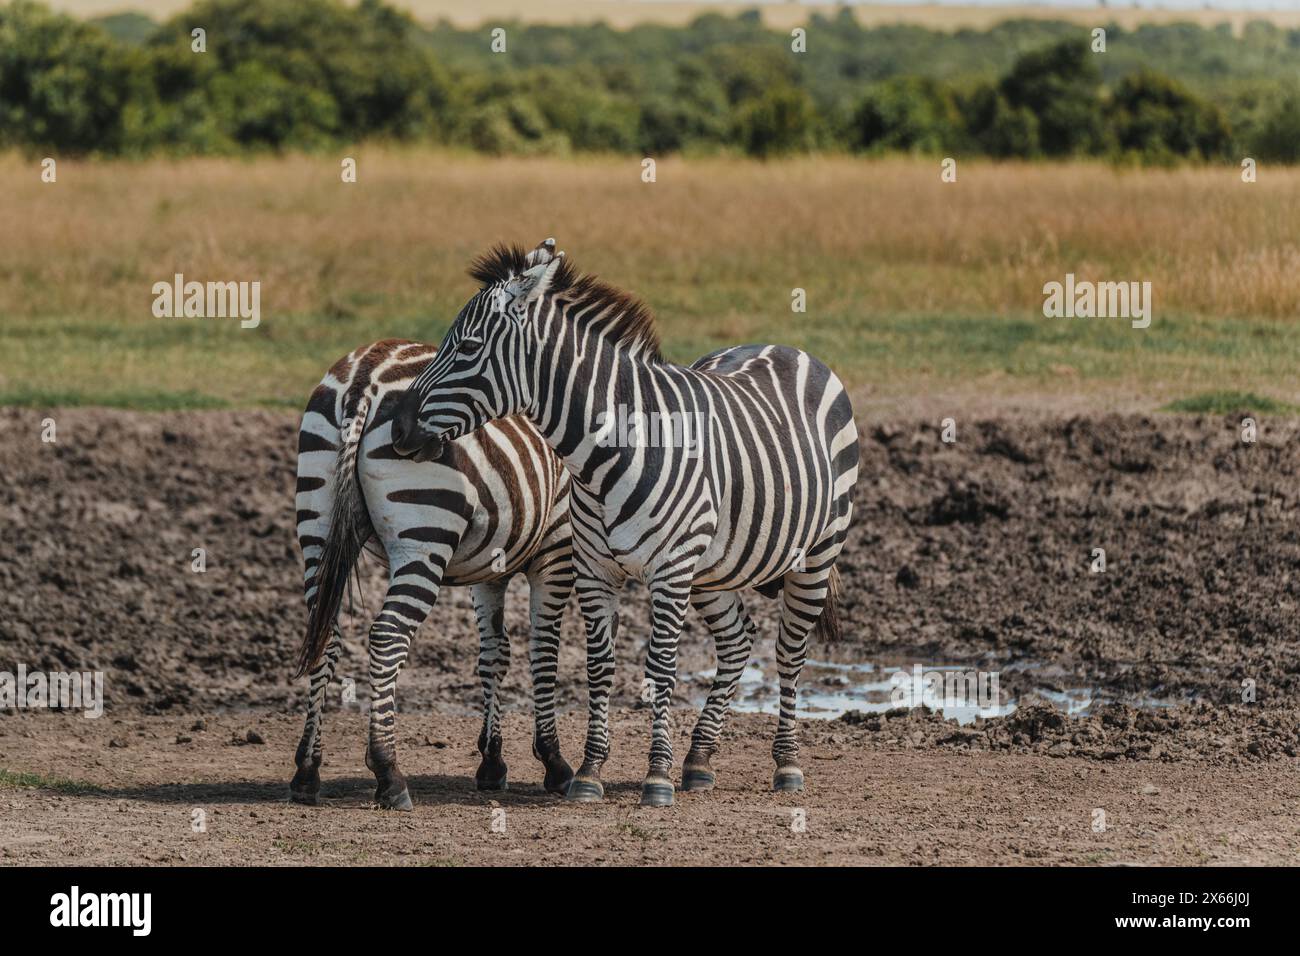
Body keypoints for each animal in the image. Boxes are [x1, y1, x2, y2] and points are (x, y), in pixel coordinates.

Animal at [289, 300, 578, 807]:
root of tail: (365, 373)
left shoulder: (491, 566)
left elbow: (494, 653)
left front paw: (492, 761)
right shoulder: (556, 548)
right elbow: (543, 652)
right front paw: (554, 762)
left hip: (317, 525)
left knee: (327, 636)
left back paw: (308, 770)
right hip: (423, 534)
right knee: (386, 635)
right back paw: (389, 772)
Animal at [390, 241, 860, 807]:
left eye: (467, 347)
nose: (396, 427)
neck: (607, 454)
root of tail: (788, 348)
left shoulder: (670, 572)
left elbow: (660, 667)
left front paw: (655, 777)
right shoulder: (596, 572)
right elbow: (600, 666)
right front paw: (591, 770)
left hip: (816, 554)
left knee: (789, 652)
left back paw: (786, 764)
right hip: (714, 569)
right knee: (737, 641)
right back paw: (699, 760)